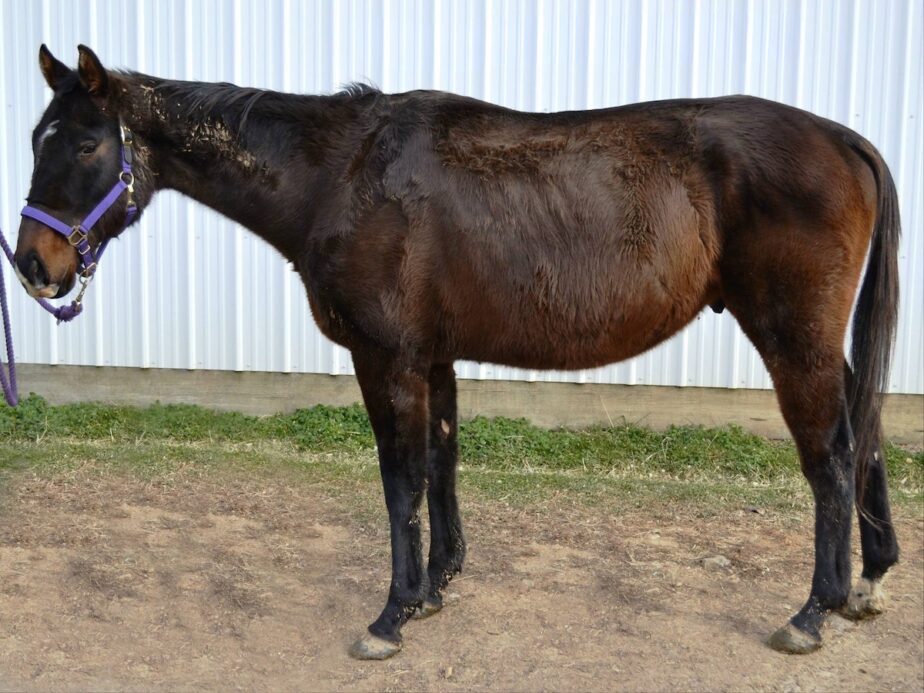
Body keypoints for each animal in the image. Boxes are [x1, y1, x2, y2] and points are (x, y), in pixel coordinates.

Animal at [13, 45, 900, 660]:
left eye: (87, 146)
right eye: (35, 138)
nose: (32, 265)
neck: (341, 173)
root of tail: (841, 137)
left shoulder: (388, 358)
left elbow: (399, 477)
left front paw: (391, 613)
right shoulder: (433, 359)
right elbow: (441, 462)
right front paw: (437, 584)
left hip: (792, 337)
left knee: (830, 451)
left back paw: (813, 611)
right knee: (866, 433)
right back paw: (867, 580)